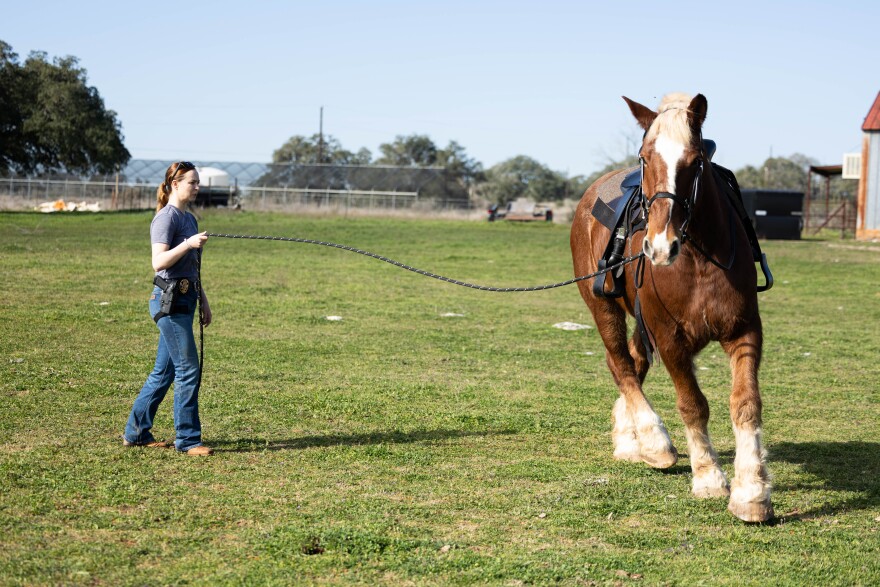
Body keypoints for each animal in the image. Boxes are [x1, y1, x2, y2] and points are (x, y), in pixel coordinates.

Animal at [570, 93, 773, 522]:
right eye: (646, 159)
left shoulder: (745, 331)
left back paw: (630, 438)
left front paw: (752, 491)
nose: (660, 245)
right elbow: (692, 404)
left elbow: (746, 404)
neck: (698, 262)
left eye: (696, 161)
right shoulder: (669, 338)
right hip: (602, 306)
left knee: (633, 360)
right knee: (621, 364)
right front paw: (709, 477)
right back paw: (653, 441)